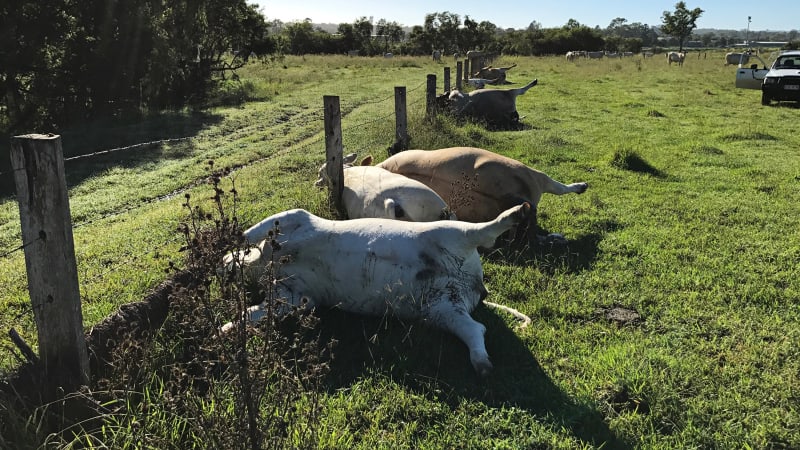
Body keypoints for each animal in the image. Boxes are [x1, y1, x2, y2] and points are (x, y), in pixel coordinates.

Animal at [221, 203, 534, 376]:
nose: (226, 270)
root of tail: (476, 283)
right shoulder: (296, 296)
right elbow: (258, 311)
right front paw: (224, 329)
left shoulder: (293, 217)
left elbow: (250, 232)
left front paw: (223, 248)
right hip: (443, 308)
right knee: (475, 329)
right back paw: (483, 366)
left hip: (450, 233)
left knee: (483, 231)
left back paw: (518, 213)